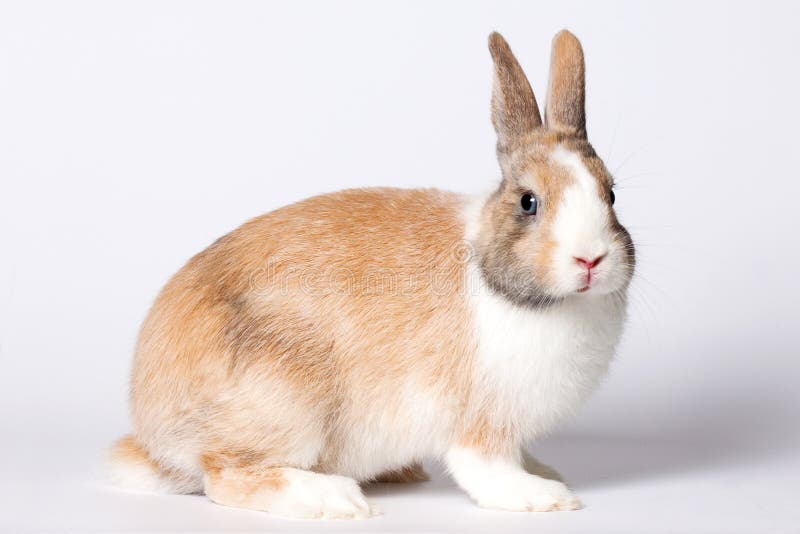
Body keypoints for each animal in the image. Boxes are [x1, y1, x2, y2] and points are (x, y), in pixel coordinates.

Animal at [106, 30, 635, 519]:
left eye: (610, 194)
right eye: (529, 202)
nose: (590, 259)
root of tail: (151, 436)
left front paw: (545, 471)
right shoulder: (478, 423)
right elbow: (486, 467)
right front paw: (544, 496)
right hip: (285, 401)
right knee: (224, 473)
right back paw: (333, 499)